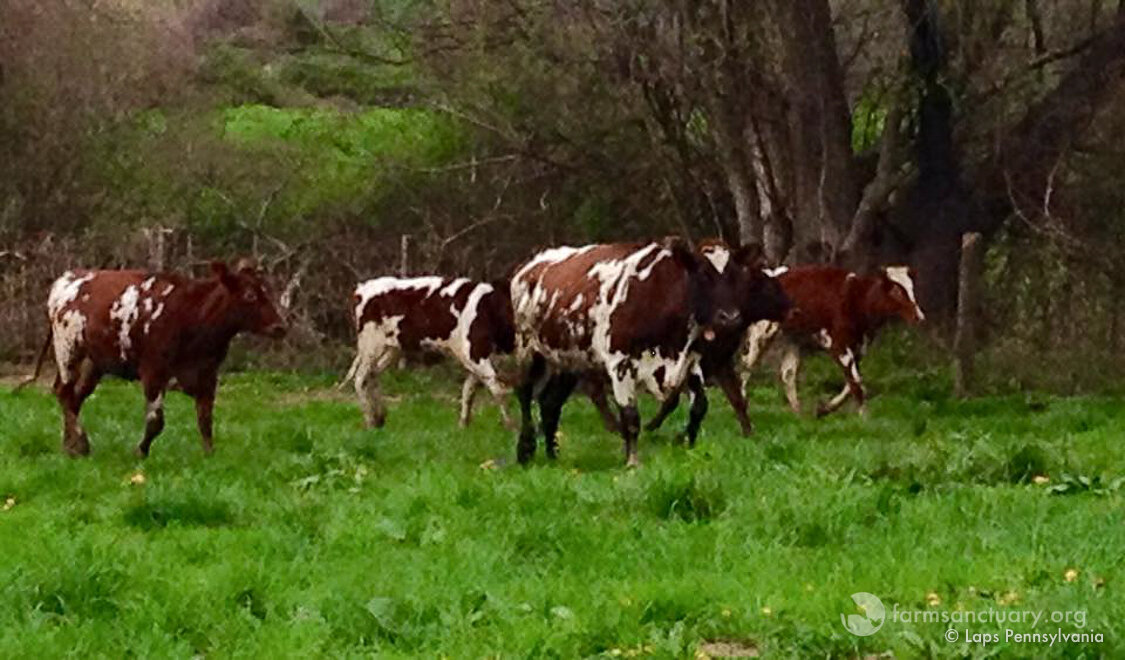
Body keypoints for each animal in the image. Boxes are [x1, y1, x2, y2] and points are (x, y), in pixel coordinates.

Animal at [20, 259, 287, 457]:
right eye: (250, 295)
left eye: (266, 291)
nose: (280, 327)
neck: (193, 315)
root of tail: (66, 279)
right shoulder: (153, 371)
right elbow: (156, 421)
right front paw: (141, 451)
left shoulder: (207, 376)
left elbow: (205, 420)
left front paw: (209, 455)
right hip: (68, 351)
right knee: (64, 394)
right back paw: (81, 443)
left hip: (93, 364)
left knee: (74, 398)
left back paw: (70, 446)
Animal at [341, 276, 517, 429]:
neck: (490, 307)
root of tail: (361, 288)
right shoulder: (475, 352)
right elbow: (497, 389)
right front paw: (511, 426)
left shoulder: (475, 358)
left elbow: (469, 390)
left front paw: (463, 425)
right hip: (371, 344)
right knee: (360, 379)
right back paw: (371, 421)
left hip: (392, 348)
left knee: (372, 374)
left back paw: (380, 417)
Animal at [509, 238, 789, 467]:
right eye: (703, 274)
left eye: (734, 276)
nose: (729, 317)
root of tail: (528, 266)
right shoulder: (620, 363)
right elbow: (631, 417)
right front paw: (632, 461)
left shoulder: (690, 359)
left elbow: (699, 406)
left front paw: (687, 443)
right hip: (527, 349)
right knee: (524, 395)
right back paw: (525, 449)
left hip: (568, 361)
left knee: (549, 403)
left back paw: (552, 454)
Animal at [741, 265, 925, 417]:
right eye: (896, 290)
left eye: (912, 289)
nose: (919, 317)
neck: (858, 299)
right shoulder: (838, 344)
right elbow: (856, 383)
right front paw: (865, 417)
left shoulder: (858, 347)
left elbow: (852, 382)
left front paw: (824, 409)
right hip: (761, 334)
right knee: (746, 366)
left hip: (793, 338)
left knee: (788, 373)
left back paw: (798, 413)